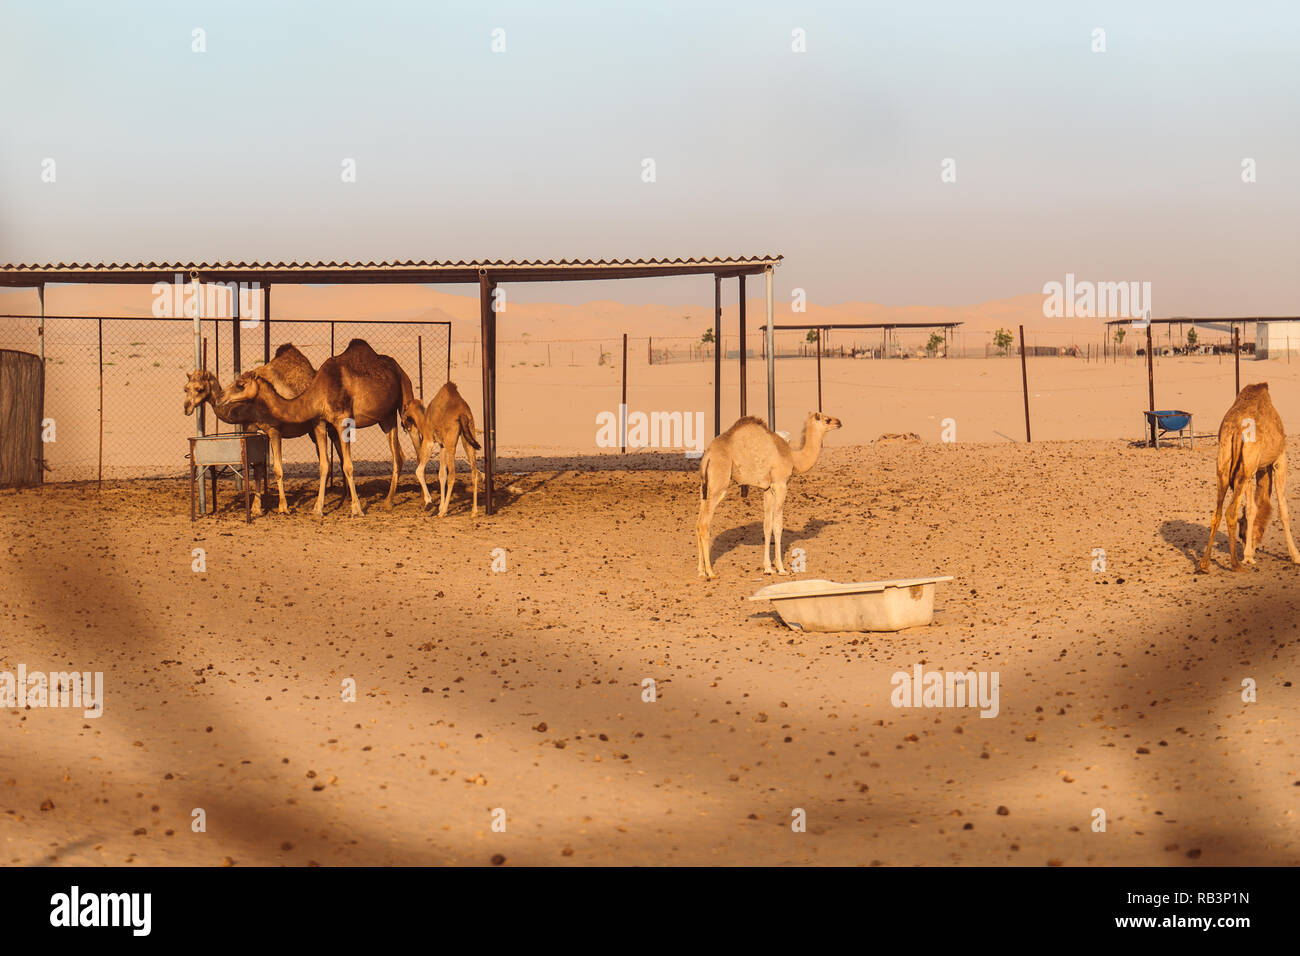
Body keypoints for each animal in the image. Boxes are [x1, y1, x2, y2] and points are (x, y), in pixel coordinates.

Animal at [183, 344, 341, 516]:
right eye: (186, 388)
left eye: (199, 389)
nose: (186, 407)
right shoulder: (250, 428)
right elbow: (257, 469)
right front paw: (256, 507)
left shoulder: (274, 430)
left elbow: (277, 469)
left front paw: (283, 507)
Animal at [220, 339, 414, 516]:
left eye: (240, 385)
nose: (221, 396)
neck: (318, 391)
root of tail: (398, 368)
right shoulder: (319, 423)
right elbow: (324, 465)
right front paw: (317, 509)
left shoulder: (343, 421)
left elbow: (348, 466)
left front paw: (357, 509)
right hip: (386, 417)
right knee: (398, 454)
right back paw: (388, 502)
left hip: (405, 395)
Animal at [400, 381, 482, 516]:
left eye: (404, 409)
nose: (402, 423)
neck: (424, 421)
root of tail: (462, 413)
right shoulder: (442, 445)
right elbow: (442, 475)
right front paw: (439, 507)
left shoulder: (429, 440)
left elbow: (419, 471)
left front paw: (430, 502)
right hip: (469, 436)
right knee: (474, 472)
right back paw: (474, 512)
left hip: (451, 444)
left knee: (453, 475)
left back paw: (443, 512)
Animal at [696, 411, 842, 580]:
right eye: (827, 419)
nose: (839, 422)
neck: (793, 458)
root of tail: (708, 456)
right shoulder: (780, 484)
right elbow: (778, 526)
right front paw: (781, 568)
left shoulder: (768, 489)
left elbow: (767, 526)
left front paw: (768, 568)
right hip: (719, 485)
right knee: (704, 524)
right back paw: (711, 572)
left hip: (704, 487)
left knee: (698, 523)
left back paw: (700, 571)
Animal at [1198, 382, 1300, 572]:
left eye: (1242, 531)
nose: (1249, 542)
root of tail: (1237, 430)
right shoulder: (1279, 459)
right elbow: (1282, 508)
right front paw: (1296, 555)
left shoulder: (1256, 469)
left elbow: (1252, 508)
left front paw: (1249, 555)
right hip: (1246, 468)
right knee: (1230, 511)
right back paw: (1236, 564)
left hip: (1225, 466)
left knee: (1217, 512)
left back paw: (1204, 564)